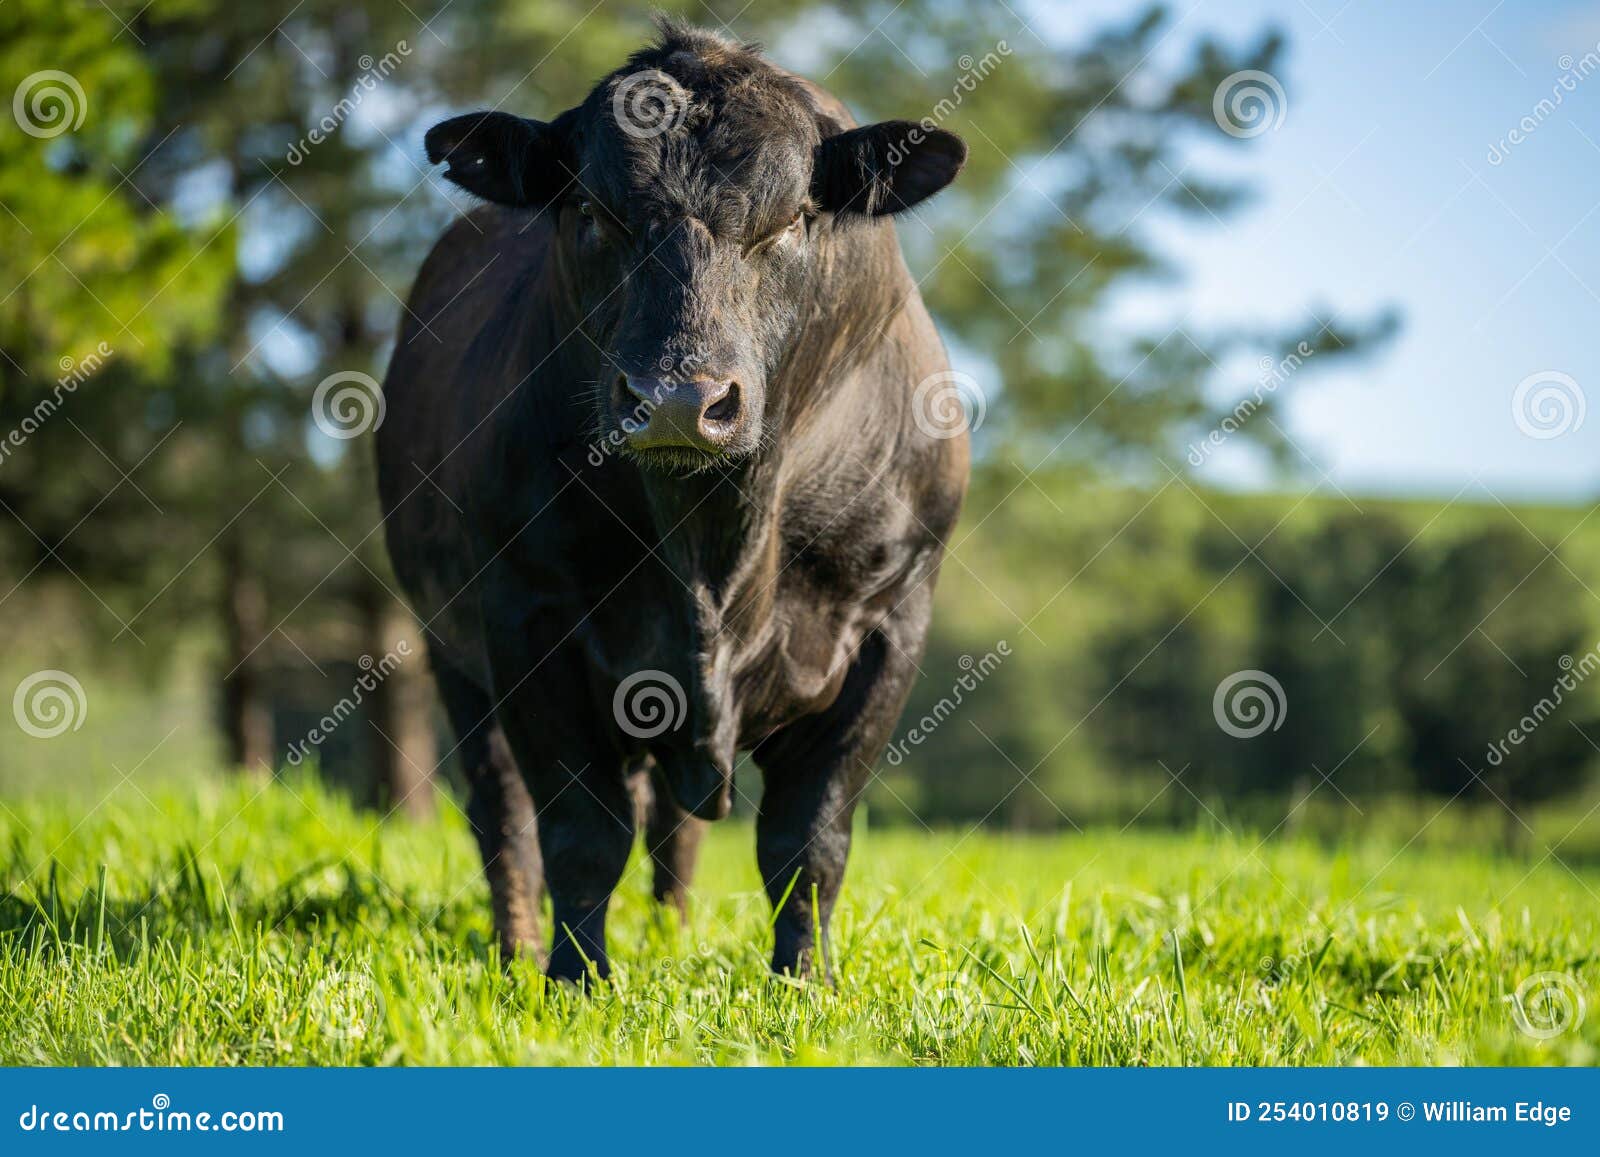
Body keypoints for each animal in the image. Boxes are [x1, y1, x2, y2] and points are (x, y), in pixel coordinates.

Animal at [376, 18, 969, 984]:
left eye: (792, 219)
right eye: (592, 213)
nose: (680, 399)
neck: (716, 551)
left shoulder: (891, 620)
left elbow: (809, 839)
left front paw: (804, 982)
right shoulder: (528, 618)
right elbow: (579, 831)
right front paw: (574, 980)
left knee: (673, 826)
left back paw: (671, 931)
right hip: (451, 651)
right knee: (503, 815)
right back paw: (517, 946)